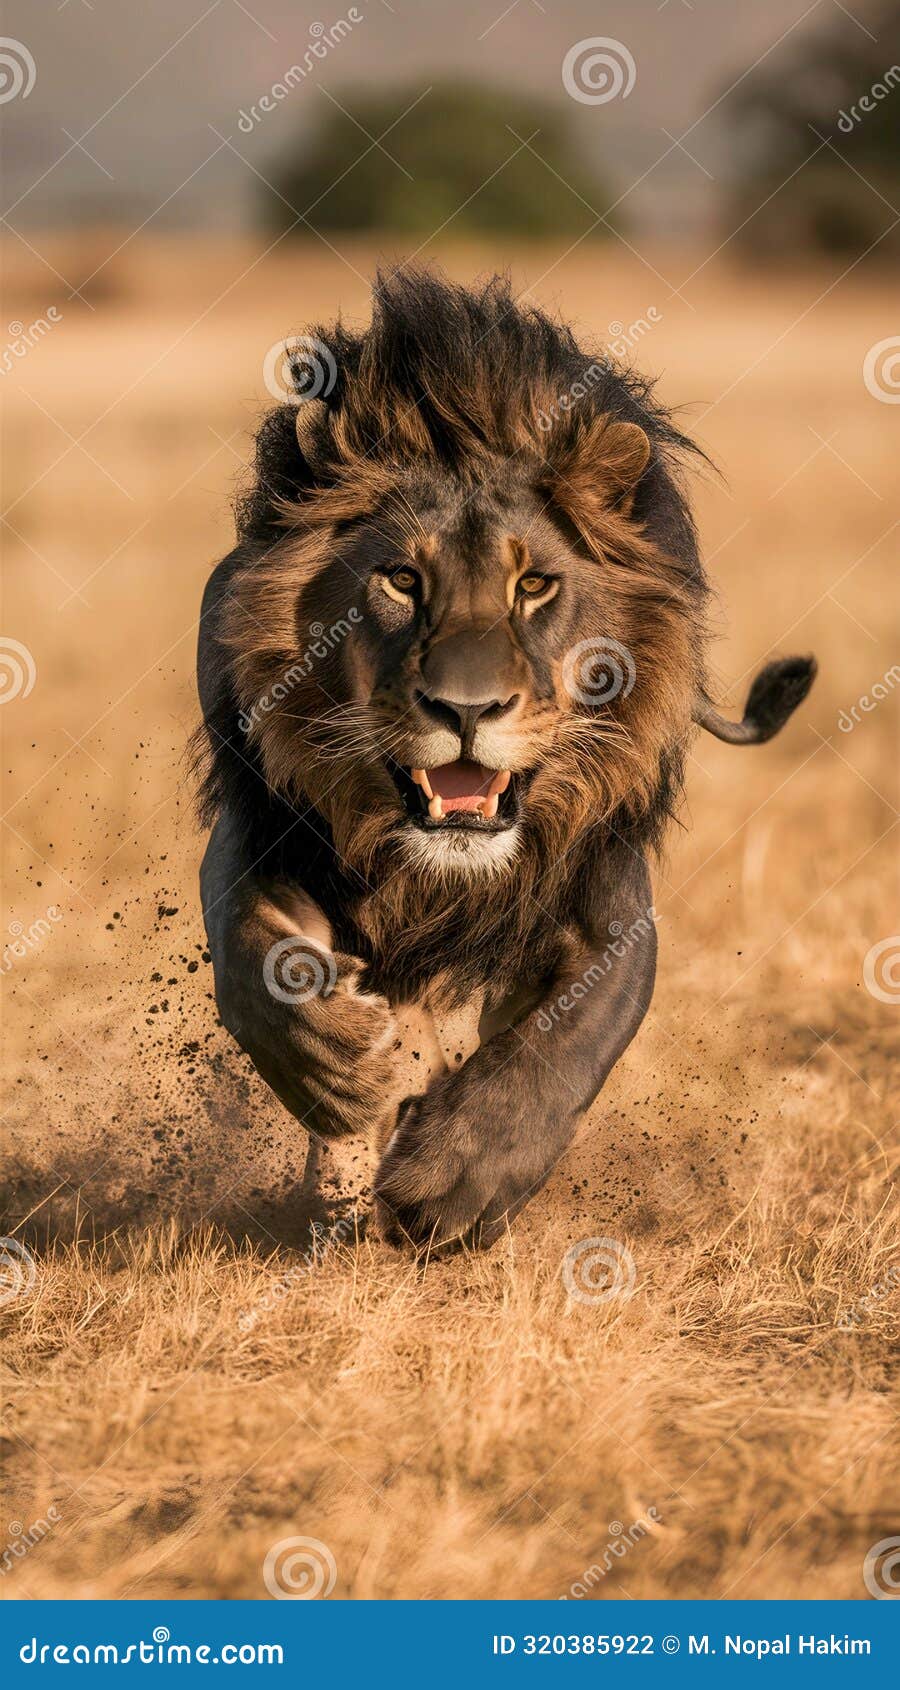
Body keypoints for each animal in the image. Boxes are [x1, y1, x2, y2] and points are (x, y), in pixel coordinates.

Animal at [196, 270, 815, 1249]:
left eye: (535, 586)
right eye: (401, 581)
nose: (466, 708)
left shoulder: (605, 902)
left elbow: (566, 1041)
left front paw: (458, 1179)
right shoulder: (262, 827)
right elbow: (255, 962)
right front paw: (339, 1075)